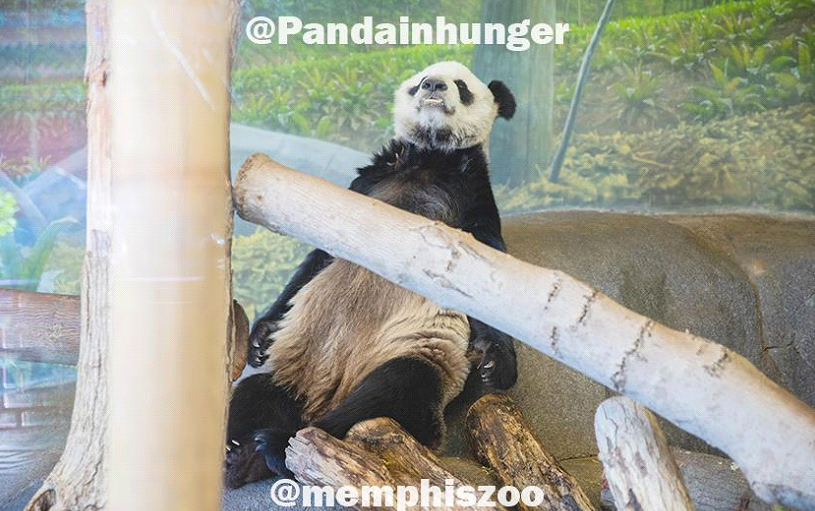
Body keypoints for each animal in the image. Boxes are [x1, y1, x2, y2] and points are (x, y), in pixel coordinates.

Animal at [226, 61, 518, 488]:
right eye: (420, 81)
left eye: (461, 86)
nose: (434, 86)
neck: (431, 158)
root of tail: (329, 395)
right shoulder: (366, 185)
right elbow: (321, 253)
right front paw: (262, 333)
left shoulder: (473, 197)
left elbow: (488, 273)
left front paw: (497, 362)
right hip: (299, 368)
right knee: (257, 391)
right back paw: (240, 454)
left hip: (415, 353)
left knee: (393, 392)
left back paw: (278, 447)